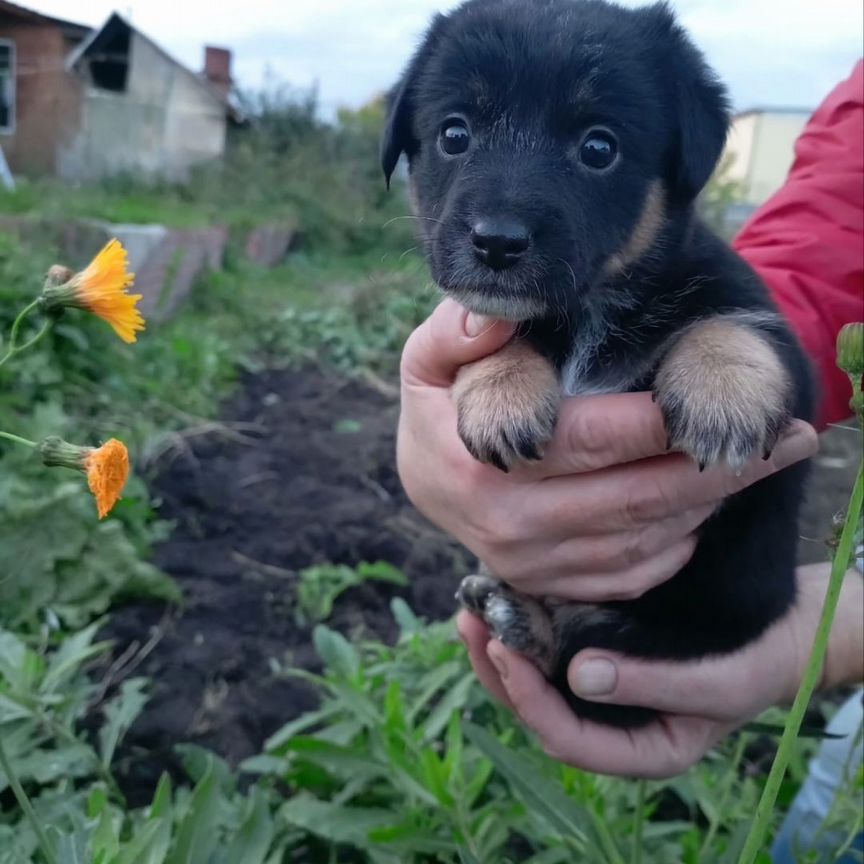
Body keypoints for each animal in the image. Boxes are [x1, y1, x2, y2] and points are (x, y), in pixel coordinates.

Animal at [382, 0, 812, 728]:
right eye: (454, 133)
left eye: (598, 147)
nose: (497, 242)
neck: (592, 312)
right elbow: (501, 329)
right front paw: (502, 393)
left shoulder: (775, 339)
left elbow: (729, 320)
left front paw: (723, 395)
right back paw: (511, 612)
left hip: (699, 615)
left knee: (582, 661)